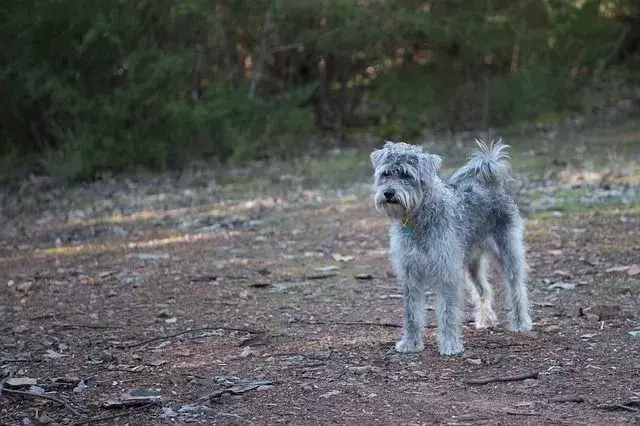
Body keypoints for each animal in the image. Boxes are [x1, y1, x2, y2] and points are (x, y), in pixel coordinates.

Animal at [370, 140, 528, 356]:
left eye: (406, 175)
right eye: (386, 173)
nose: (389, 193)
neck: (419, 217)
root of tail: (491, 183)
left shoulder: (447, 273)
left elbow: (448, 311)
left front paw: (450, 344)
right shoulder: (410, 273)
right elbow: (411, 312)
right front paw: (411, 343)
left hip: (509, 254)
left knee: (517, 289)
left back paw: (521, 322)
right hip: (472, 264)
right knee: (484, 290)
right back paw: (485, 320)